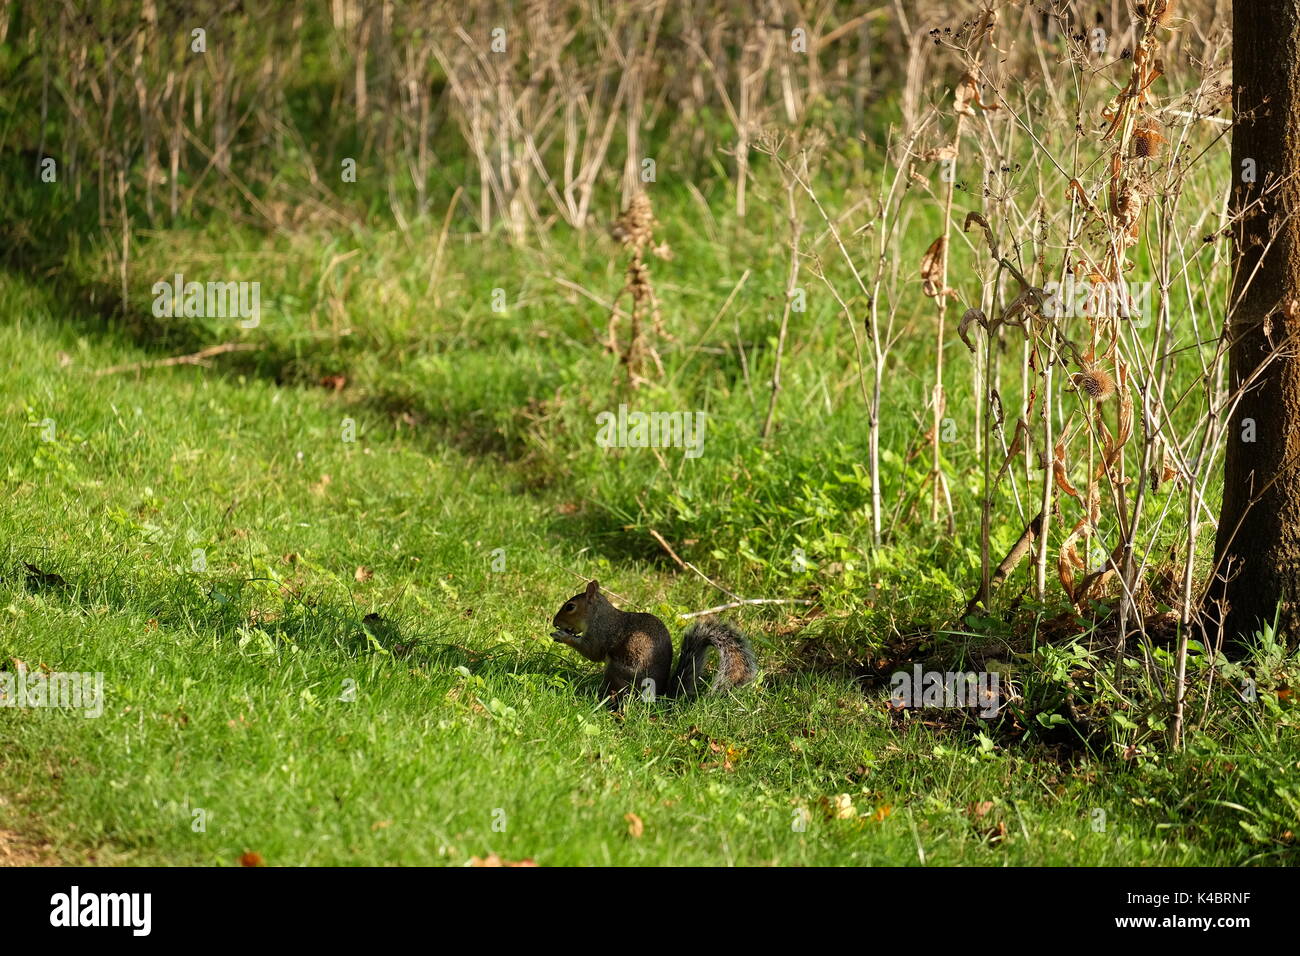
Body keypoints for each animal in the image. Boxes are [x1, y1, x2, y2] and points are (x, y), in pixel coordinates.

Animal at [550, 580, 756, 707]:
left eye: (570, 607)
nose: (554, 622)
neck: (598, 615)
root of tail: (659, 695)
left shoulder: (601, 633)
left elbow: (592, 652)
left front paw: (562, 636)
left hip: (618, 672)